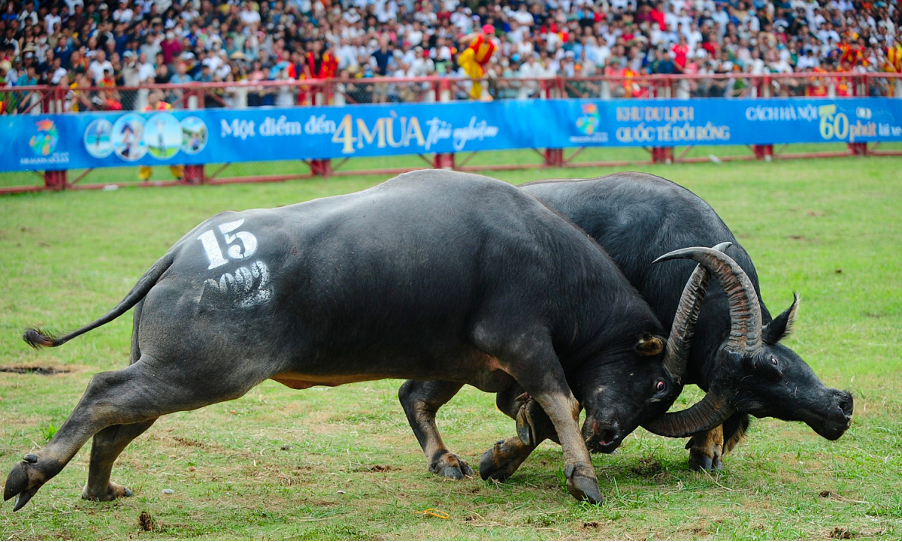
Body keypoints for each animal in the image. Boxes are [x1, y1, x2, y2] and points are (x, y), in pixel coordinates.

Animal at [7, 170, 728, 510]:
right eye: (657, 384)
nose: (612, 437)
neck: (544, 255)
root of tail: (182, 252)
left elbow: (528, 411)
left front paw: (497, 458)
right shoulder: (525, 341)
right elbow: (558, 399)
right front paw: (583, 476)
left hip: (176, 371)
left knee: (117, 422)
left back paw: (100, 490)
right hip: (202, 371)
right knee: (103, 393)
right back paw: (32, 470)